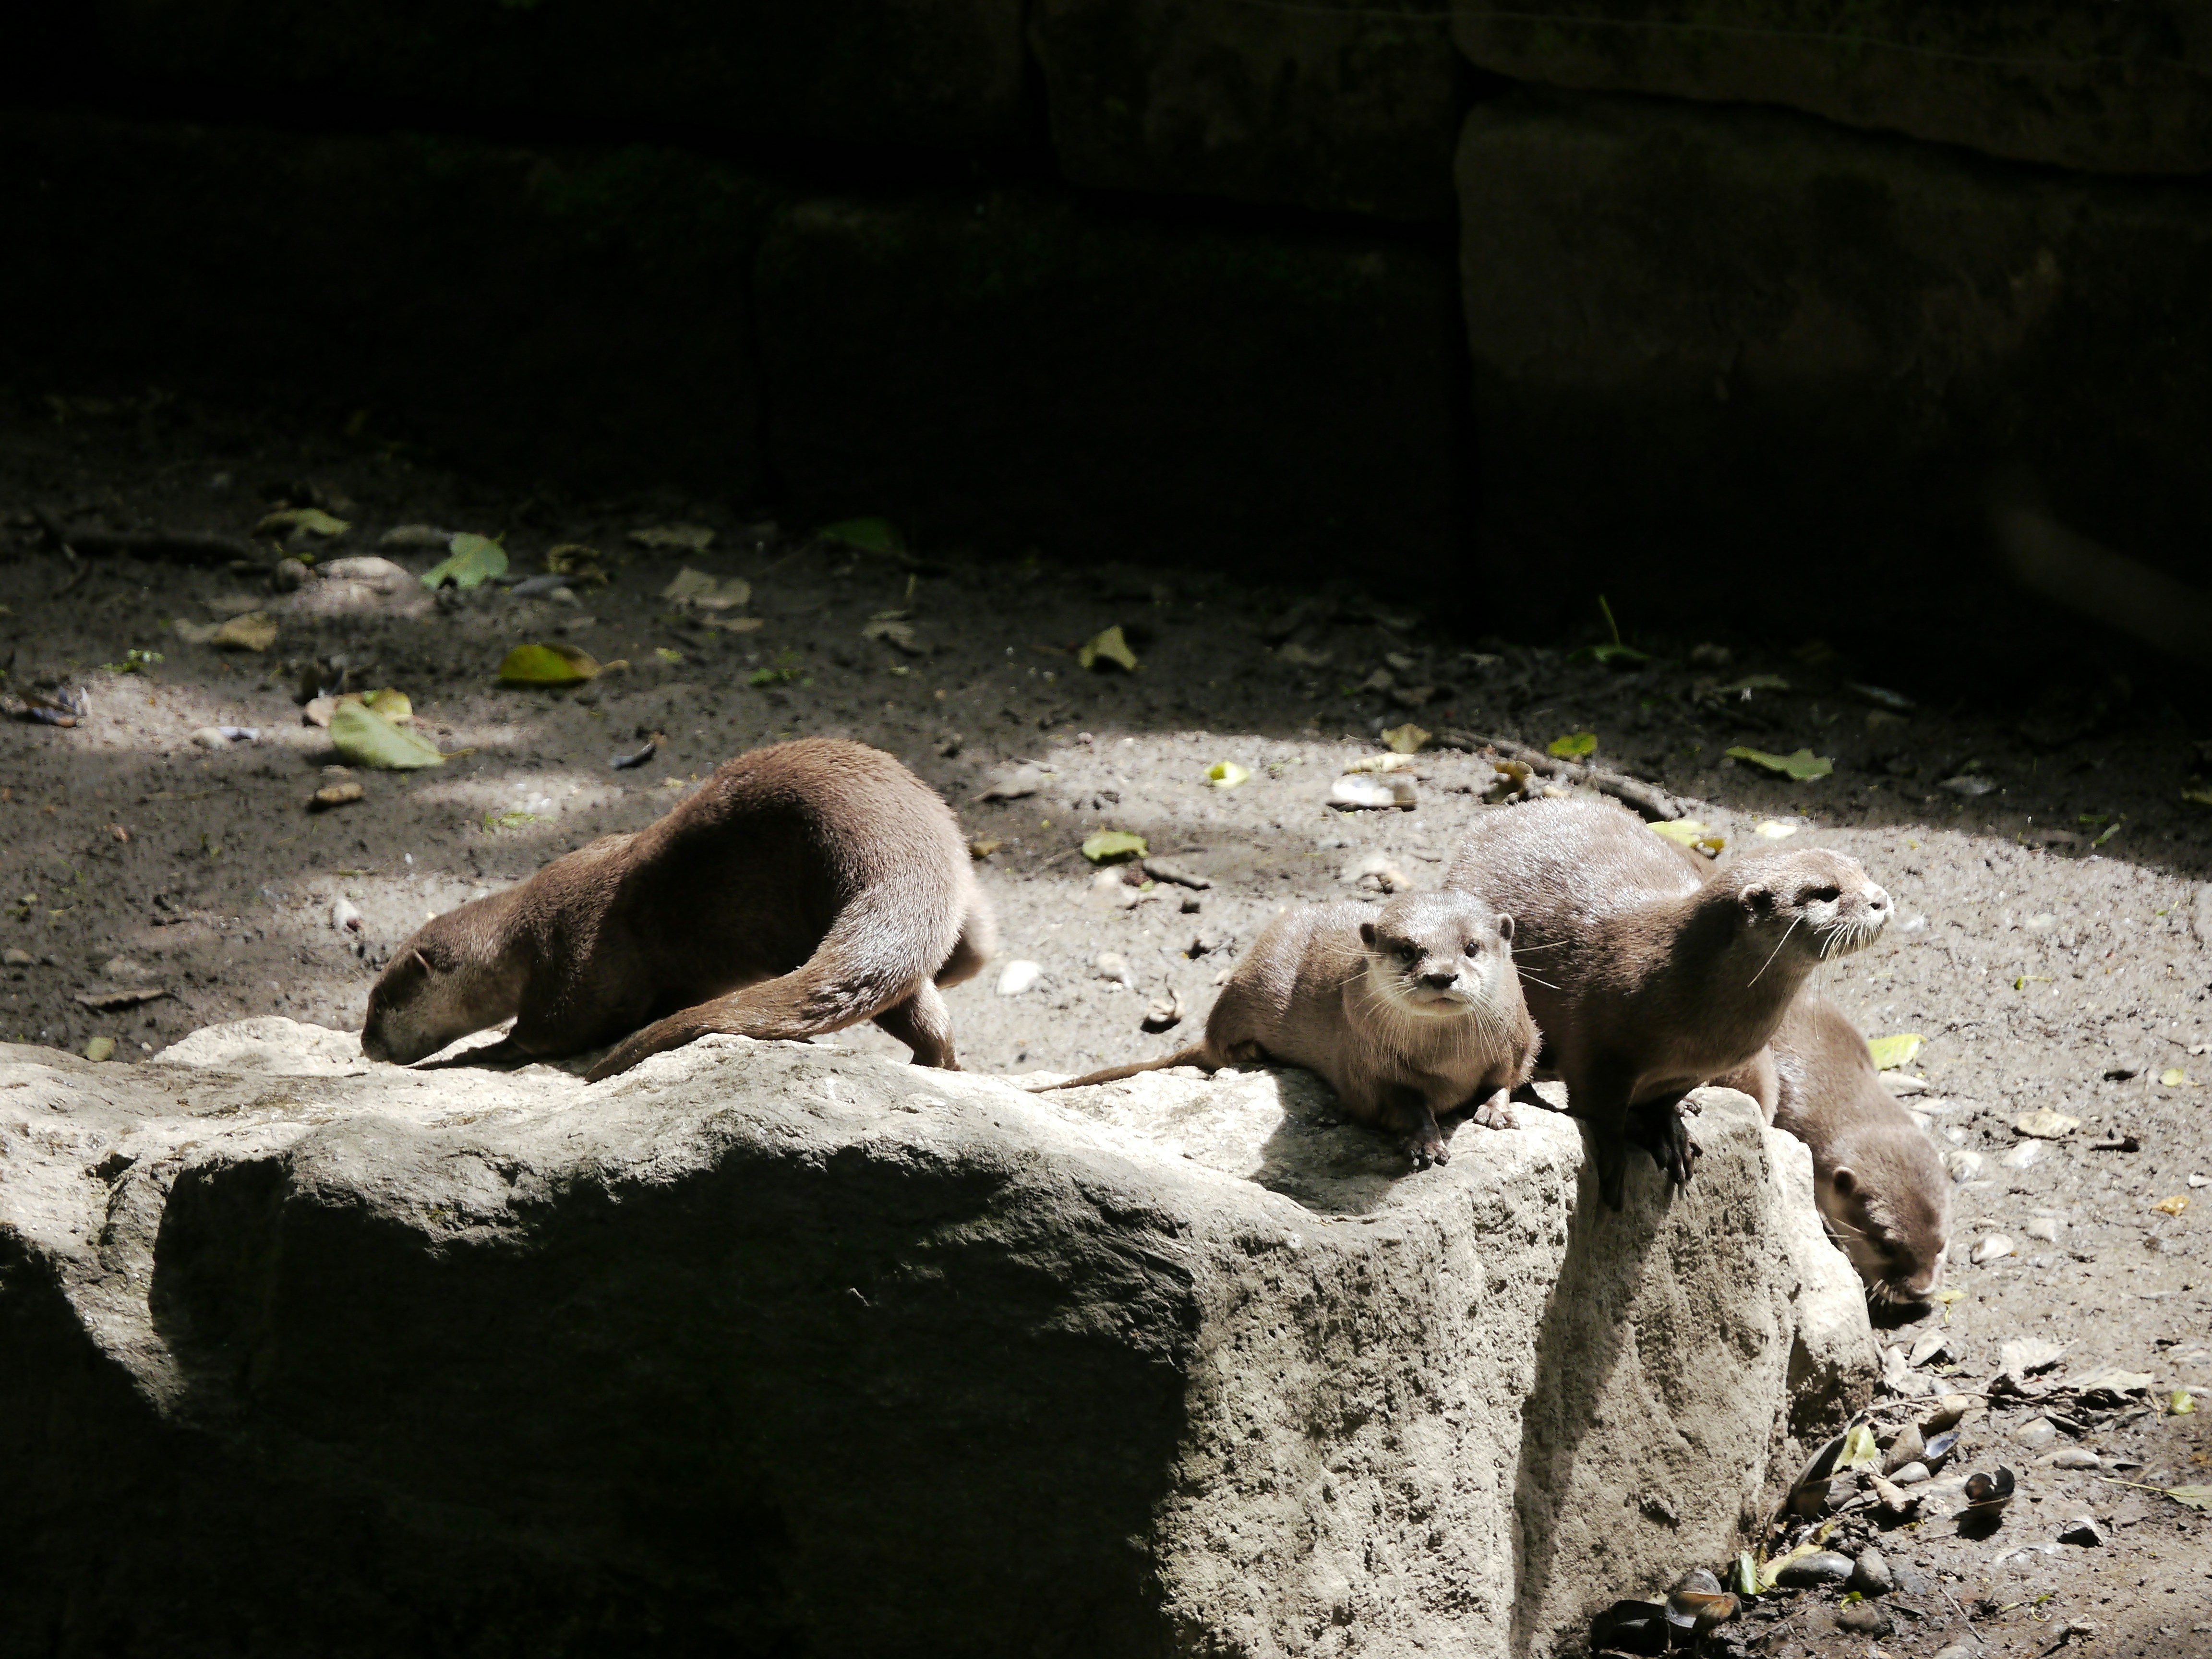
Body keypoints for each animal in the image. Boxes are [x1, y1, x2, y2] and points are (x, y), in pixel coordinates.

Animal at [359, 738, 996, 1080]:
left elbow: (544, 1036)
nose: (365, 1044)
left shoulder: (572, 964)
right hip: (963, 902)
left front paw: (481, 1053)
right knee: (960, 967)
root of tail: (899, 846)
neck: (521, 937)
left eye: (380, 1004)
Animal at [1036, 889, 1538, 1169]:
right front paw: (1425, 1141)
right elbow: (1398, 1102)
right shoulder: (1367, 1066)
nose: (1442, 976)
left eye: (1471, 947)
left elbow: (1506, 1079)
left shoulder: (1519, 1041)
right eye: (1408, 951)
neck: (1448, 1062)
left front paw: (1495, 1111)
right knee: (1217, 1040)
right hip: (1246, 987)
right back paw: (1251, 1053)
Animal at [1444, 797, 1892, 1208]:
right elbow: (1599, 1111)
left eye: (1862, 871)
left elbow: (1665, 1100)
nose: (1881, 899)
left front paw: (1671, 1132)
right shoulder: (1597, 1050)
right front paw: (1613, 1164)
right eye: (1826, 893)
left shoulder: (1696, 1068)